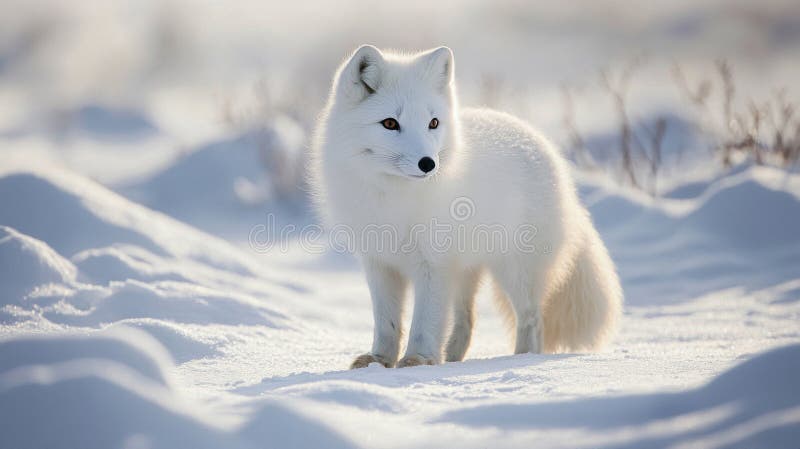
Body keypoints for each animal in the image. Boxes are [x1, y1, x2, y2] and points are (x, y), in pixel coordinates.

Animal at [310, 45, 623, 369]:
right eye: (390, 123)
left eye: (433, 123)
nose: (428, 164)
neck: (394, 196)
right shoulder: (379, 263)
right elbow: (387, 323)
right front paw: (379, 360)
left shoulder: (433, 264)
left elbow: (424, 322)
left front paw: (417, 360)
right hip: (464, 272)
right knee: (466, 321)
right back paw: (452, 359)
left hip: (516, 270)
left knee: (532, 318)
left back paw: (520, 358)